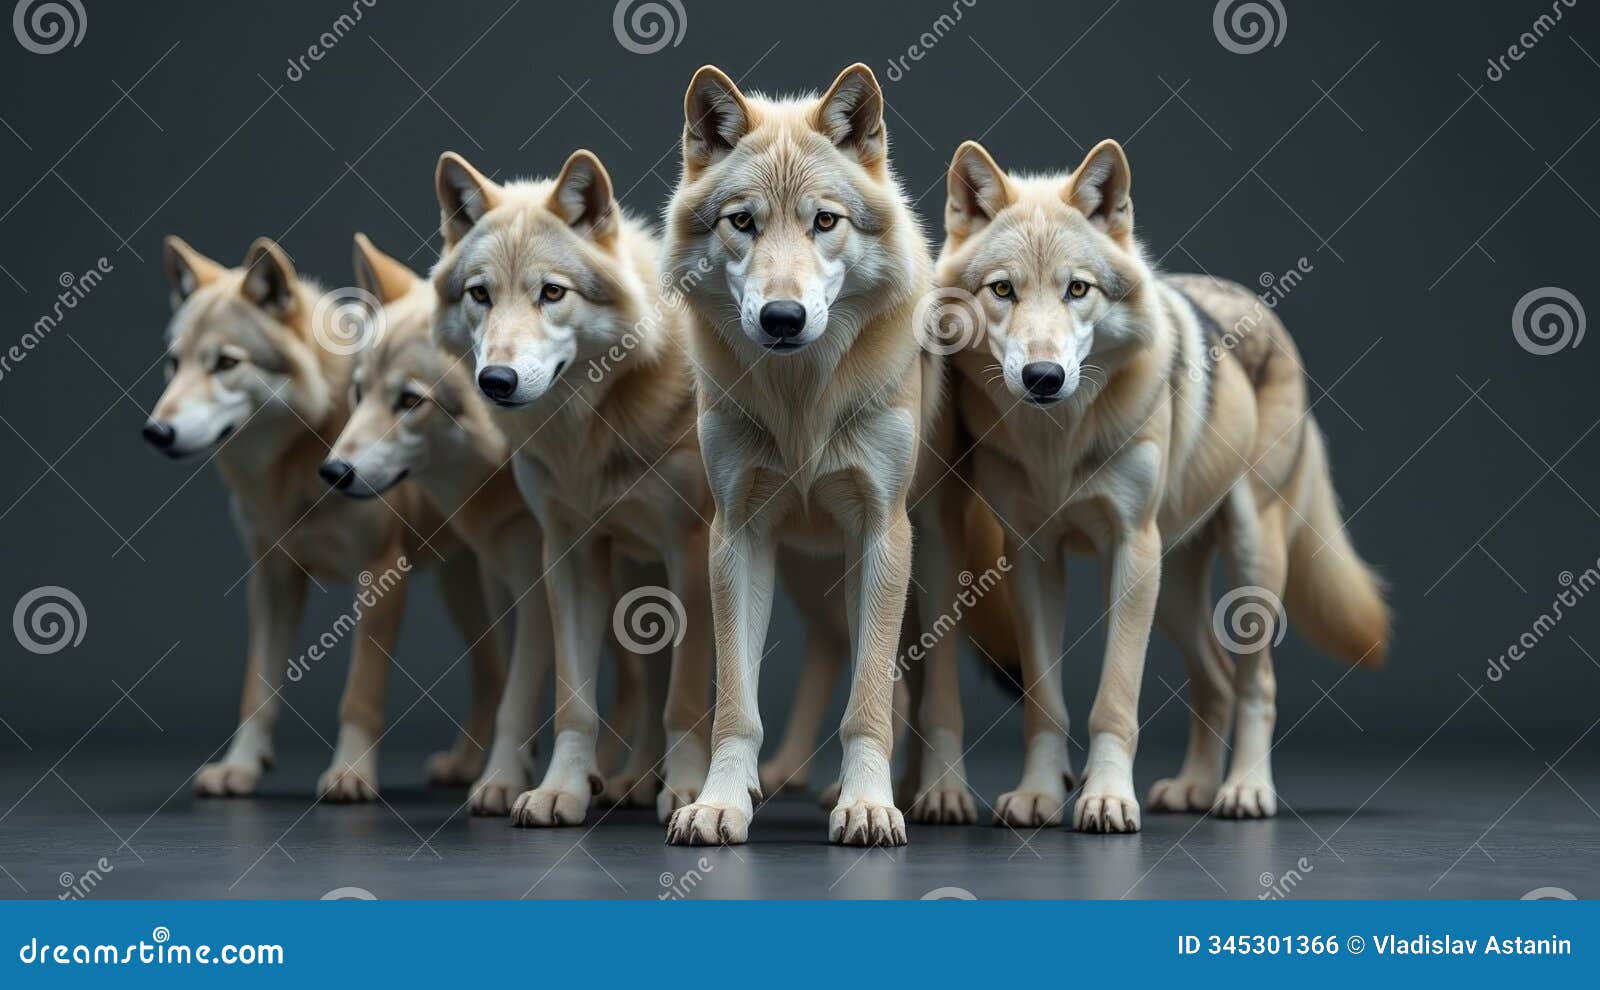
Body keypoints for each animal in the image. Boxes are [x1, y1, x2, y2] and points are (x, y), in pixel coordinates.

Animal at [146, 236, 506, 801]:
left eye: (225, 363)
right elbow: (257, 688)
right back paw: (466, 766)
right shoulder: (272, 579)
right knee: (492, 671)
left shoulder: (382, 575)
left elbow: (360, 693)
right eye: (173, 364)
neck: (293, 468)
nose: (156, 431)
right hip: (461, 588)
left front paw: (351, 775)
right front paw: (240, 768)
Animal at [430, 148, 714, 826]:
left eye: (551, 293)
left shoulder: (692, 550)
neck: (586, 434)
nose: (497, 380)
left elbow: (688, 697)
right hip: (638, 580)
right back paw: (633, 780)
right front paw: (563, 790)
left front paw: (691, 791)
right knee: (647, 685)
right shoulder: (569, 553)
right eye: (480, 295)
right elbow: (575, 703)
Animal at [660, 64, 1017, 846]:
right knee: (833, 649)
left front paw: (869, 806)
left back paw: (936, 791)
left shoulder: (883, 532)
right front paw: (720, 804)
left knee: (930, 687)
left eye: (825, 221)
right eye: (743, 222)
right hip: (807, 562)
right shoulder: (735, 536)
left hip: (927, 553)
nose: (782, 317)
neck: (802, 402)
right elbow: (736, 704)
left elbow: (871, 699)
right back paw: (790, 778)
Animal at [937, 138, 1390, 830]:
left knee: (1256, 685)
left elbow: (1115, 701)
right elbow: (1045, 700)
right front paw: (1040, 794)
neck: (1056, 442)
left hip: (1248, 562)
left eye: (1077, 289)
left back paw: (1245, 792)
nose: (1043, 377)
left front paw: (1104, 799)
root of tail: (1258, 309)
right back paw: (1194, 788)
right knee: (1216, 680)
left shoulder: (1130, 549)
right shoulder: (1033, 558)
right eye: (1003, 290)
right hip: (1174, 586)